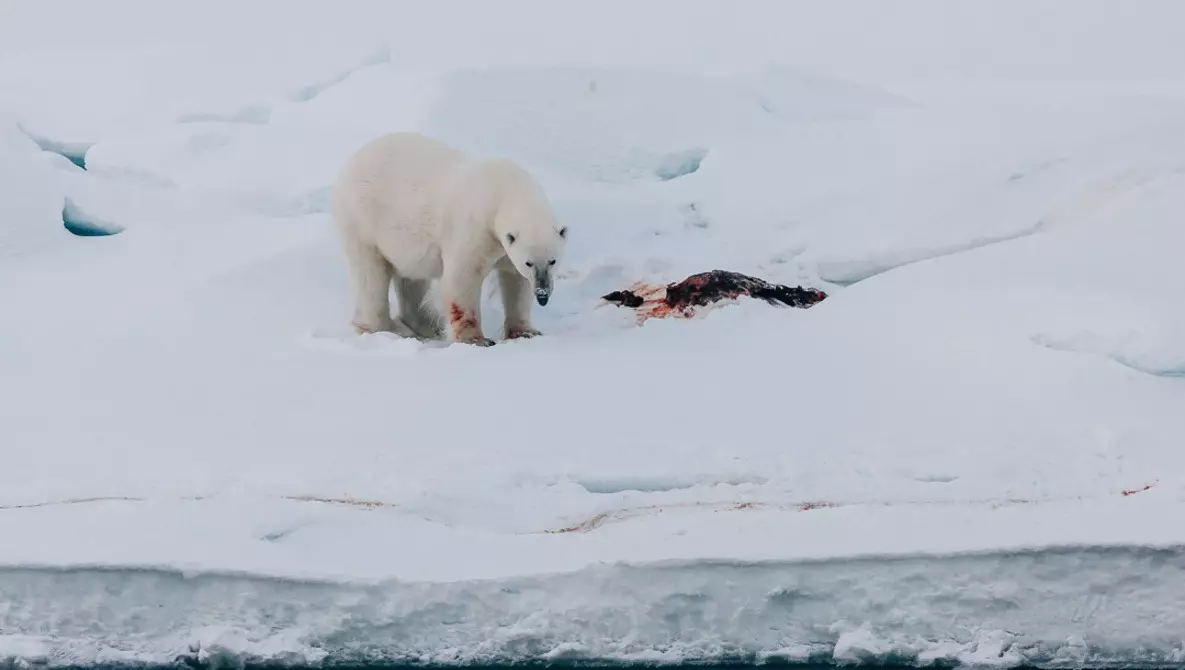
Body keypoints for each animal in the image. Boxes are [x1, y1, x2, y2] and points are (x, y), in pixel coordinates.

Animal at [329, 134, 568, 348]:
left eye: (553, 261)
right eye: (529, 262)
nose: (543, 294)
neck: (504, 188)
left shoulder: (505, 249)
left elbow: (515, 282)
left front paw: (526, 332)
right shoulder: (475, 229)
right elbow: (463, 278)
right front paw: (475, 340)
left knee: (412, 277)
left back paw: (425, 324)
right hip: (362, 221)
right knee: (370, 276)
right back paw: (385, 328)